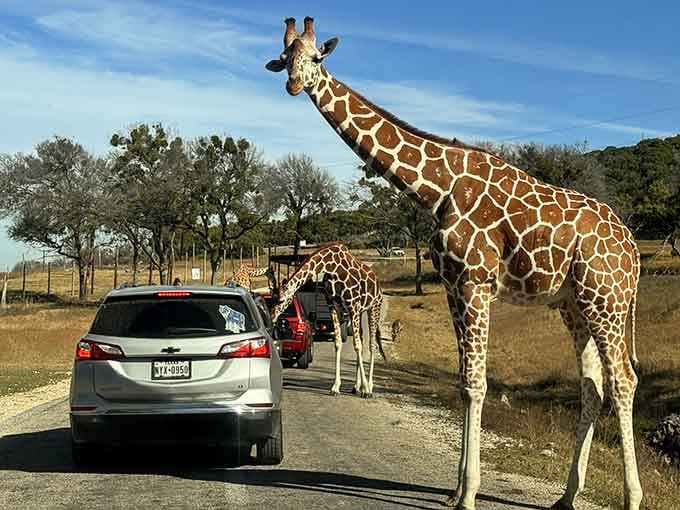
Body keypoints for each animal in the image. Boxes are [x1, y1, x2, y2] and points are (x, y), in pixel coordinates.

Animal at [270, 243, 386, 397]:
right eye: (273, 298)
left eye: (281, 300)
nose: (272, 316)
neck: (331, 266)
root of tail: (378, 283)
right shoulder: (333, 304)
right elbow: (338, 343)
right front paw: (335, 387)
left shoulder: (353, 304)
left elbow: (357, 345)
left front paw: (366, 389)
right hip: (360, 311)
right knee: (362, 337)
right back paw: (357, 386)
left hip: (374, 306)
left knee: (372, 344)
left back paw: (369, 386)